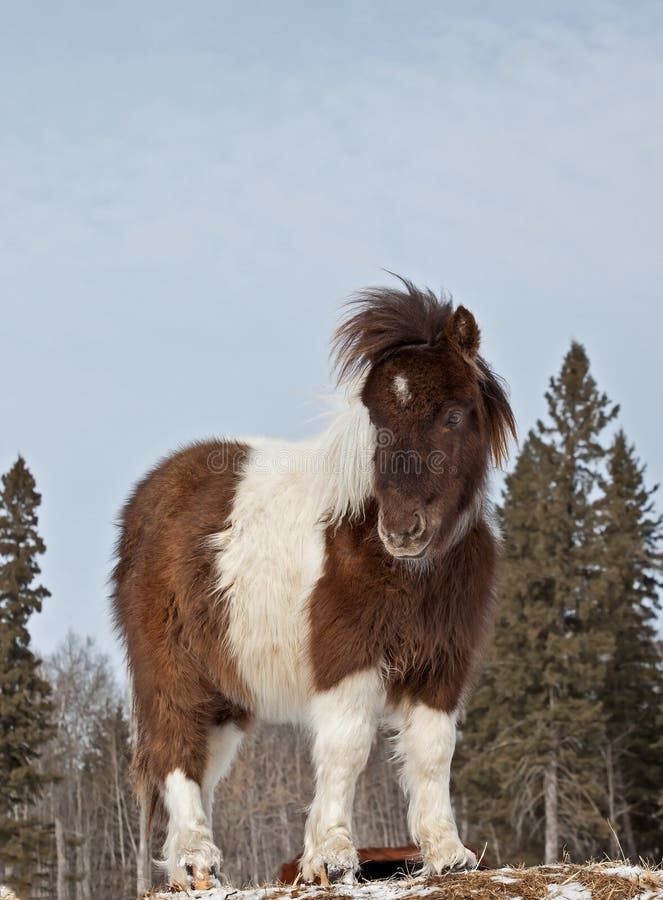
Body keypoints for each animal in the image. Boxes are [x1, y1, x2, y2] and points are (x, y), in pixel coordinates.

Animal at [112, 277, 516, 889]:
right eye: (378, 422)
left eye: (453, 415)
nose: (402, 530)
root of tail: (147, 500)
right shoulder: (347, 658)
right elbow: (346, 748)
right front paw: (330, 858)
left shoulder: (442, 665)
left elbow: (432, 753)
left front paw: (448, 854)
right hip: (174, 668)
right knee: (177, 751)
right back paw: (197, 861)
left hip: (227, 691)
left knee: (201, 765)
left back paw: (191, 869)